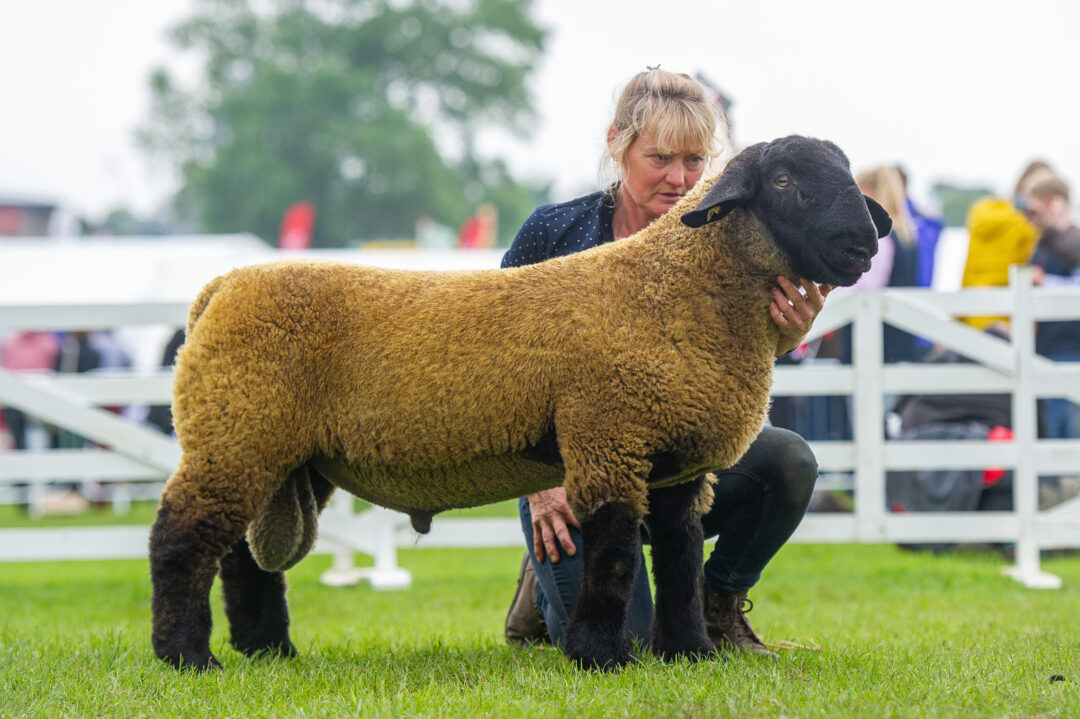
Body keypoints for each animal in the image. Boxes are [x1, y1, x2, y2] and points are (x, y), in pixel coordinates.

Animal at [149, 135, 890, 672]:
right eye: (785, 181)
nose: (863, 245)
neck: (672, 289)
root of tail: (220, 287)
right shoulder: (608, 435)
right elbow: (614, 552)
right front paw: (602, 656)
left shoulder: (678, 466)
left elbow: (678, 557)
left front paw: (689, 653)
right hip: (235, 426)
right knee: (182, 537)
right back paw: (187, 658)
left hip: (277, 448)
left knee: (242, 556)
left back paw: (269, 650)